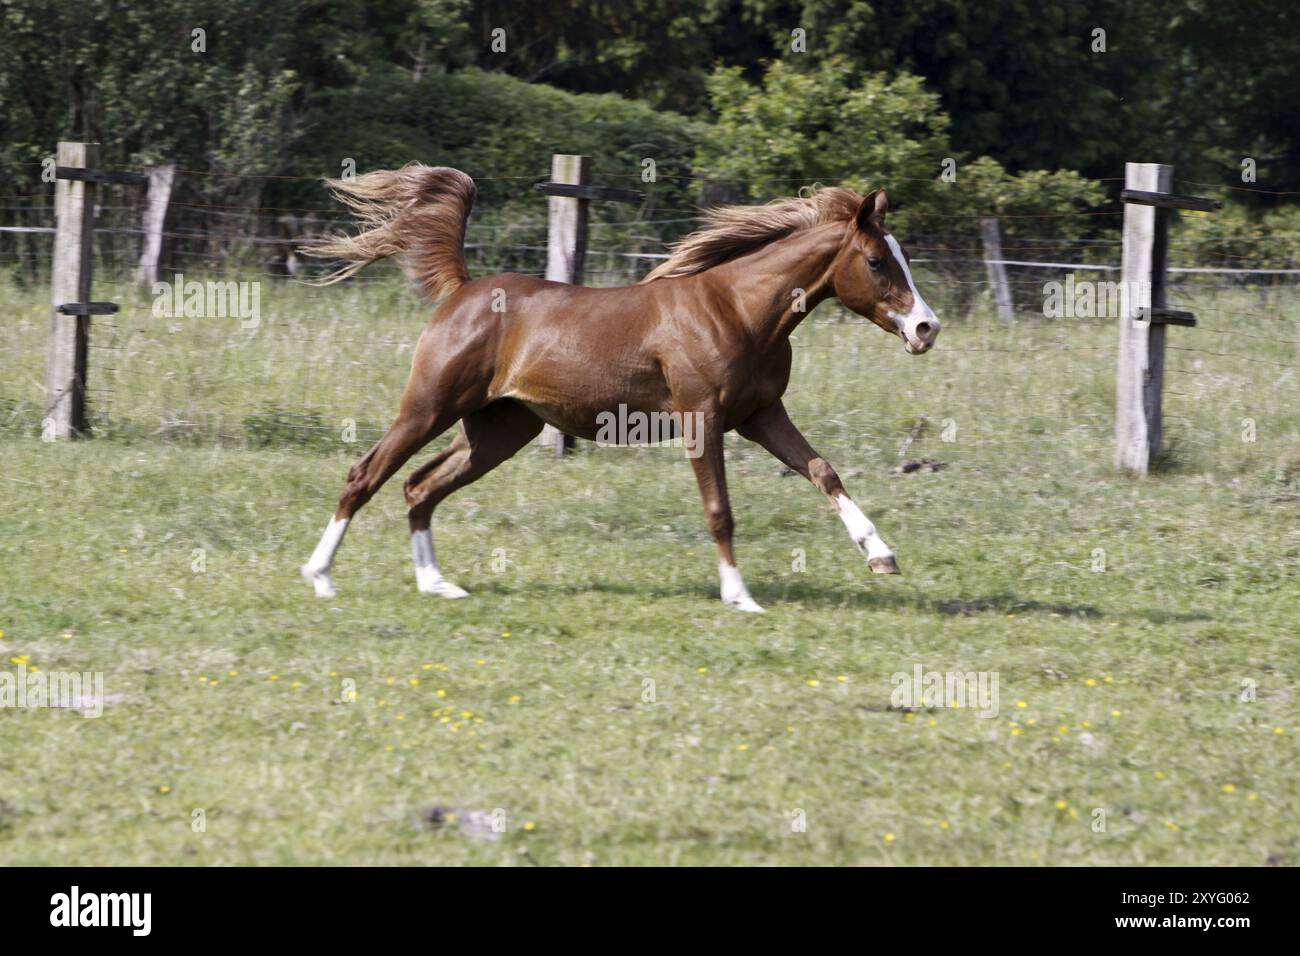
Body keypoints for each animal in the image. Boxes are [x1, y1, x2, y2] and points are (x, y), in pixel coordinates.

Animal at [300, 165, 940, 612]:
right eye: (876, 260)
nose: (925, 328)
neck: (737, 310)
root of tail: (462, 288)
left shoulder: (761, 415)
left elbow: (822, 470)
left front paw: (881, 555)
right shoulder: (701, 417)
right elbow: (720, 509)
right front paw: (740, 595)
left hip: (499, 429)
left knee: (420, 486)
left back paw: (436, 584)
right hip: (429, 406)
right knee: (367, 474)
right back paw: (321, 577)